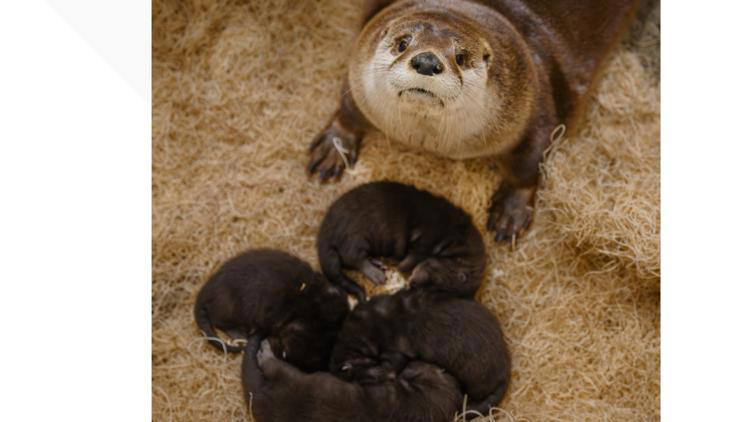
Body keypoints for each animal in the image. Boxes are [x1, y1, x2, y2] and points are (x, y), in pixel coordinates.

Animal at [308, 0, 641, 242]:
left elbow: (531, 160)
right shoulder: (359, 73)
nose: (427, 61)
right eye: (403, 43)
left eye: (460, 57)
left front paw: (511, 212)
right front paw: (333, 148)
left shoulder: (536, 108)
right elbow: (349, 108)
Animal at [316, 181, 486, 303]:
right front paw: (401, 267)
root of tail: (324, 234)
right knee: (354, 257)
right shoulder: (427, 237)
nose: (414, 282)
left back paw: (377, 263)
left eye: (434, 291)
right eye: (462, 276)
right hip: (355, 235)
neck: (454, 236)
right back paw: (376, 273)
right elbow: (412, 258)